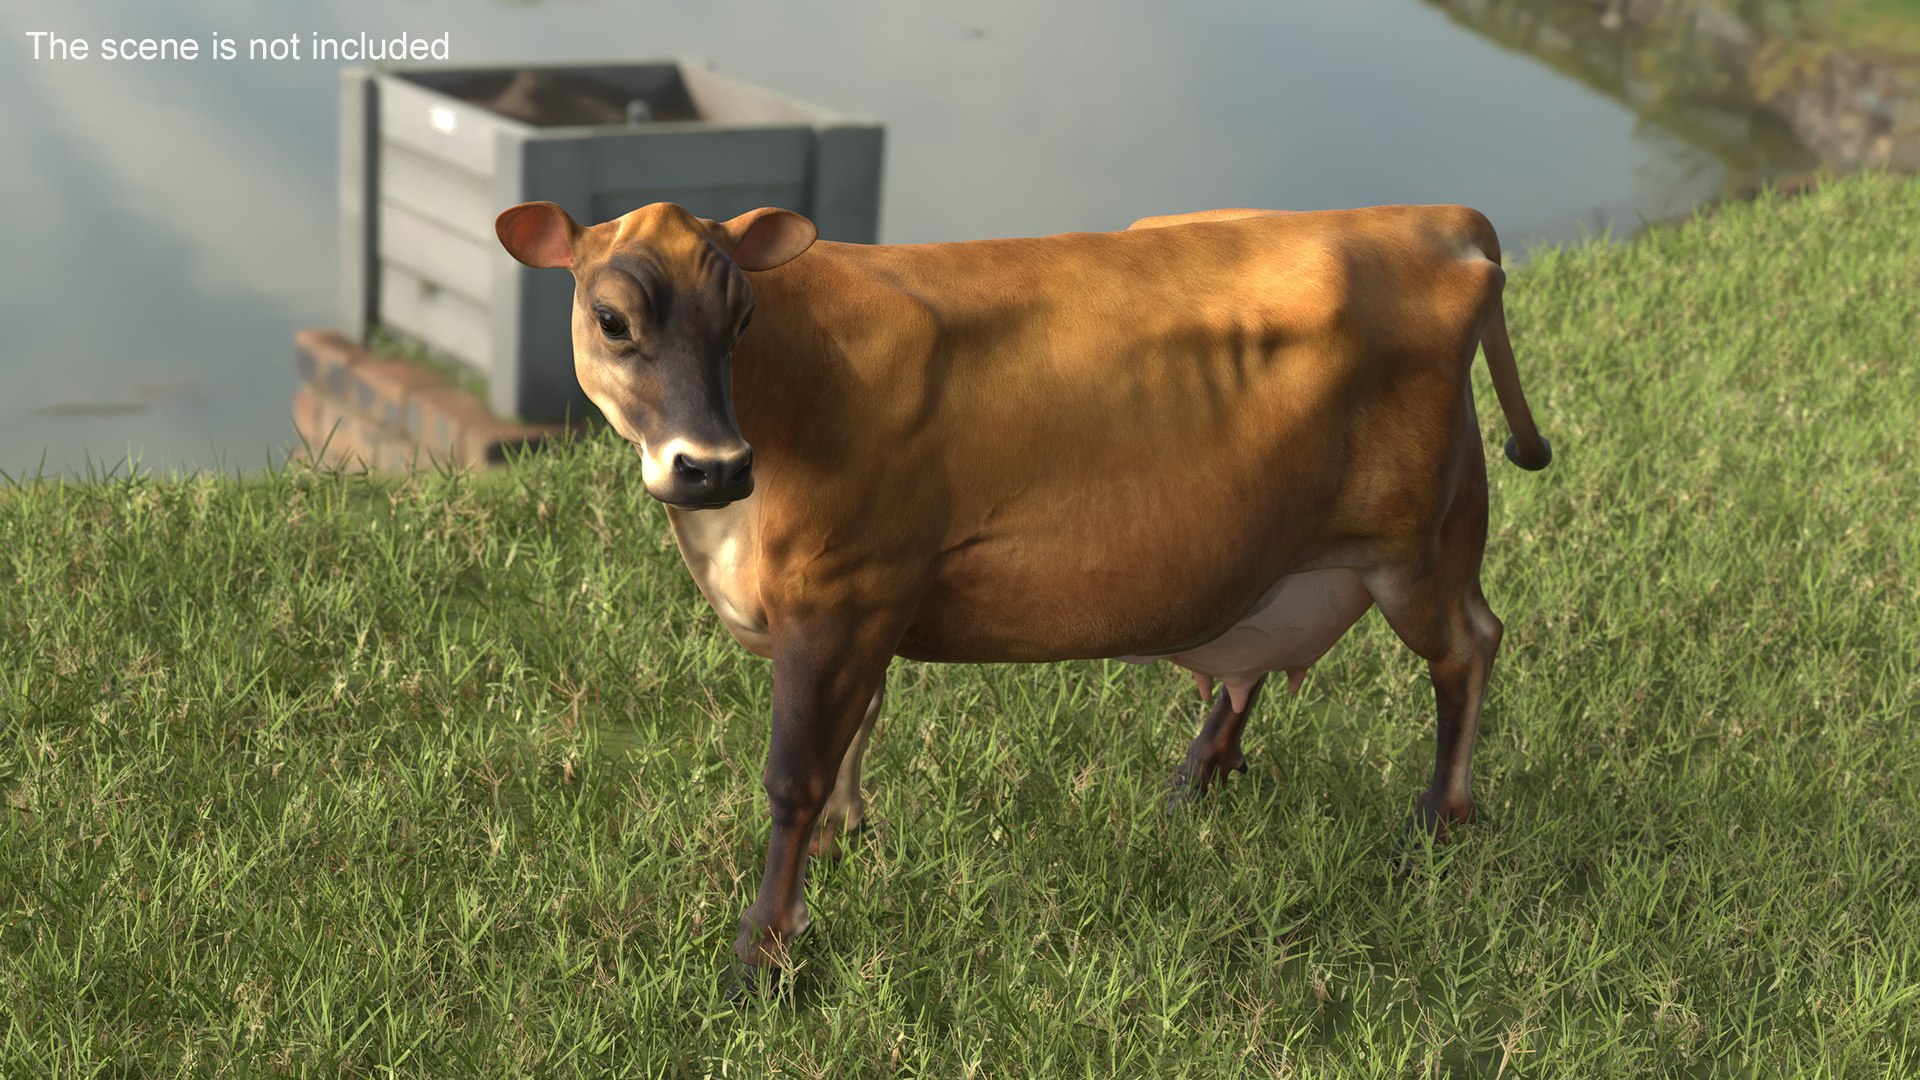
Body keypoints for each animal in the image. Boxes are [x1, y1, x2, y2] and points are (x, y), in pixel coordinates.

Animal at [494, 197, 1552, 986]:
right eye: (613, 321)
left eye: (743, 319)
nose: (710, 466)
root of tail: (1434, 220)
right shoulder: (865, 609)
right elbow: (853, 735)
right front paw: (846, 844)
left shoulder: (841, 596)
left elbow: (794, 773)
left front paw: (762, 954)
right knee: (1253, 668)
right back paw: (1195, 781)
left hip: (1422, 549)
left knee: (1471, 645)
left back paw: (1437, 819)